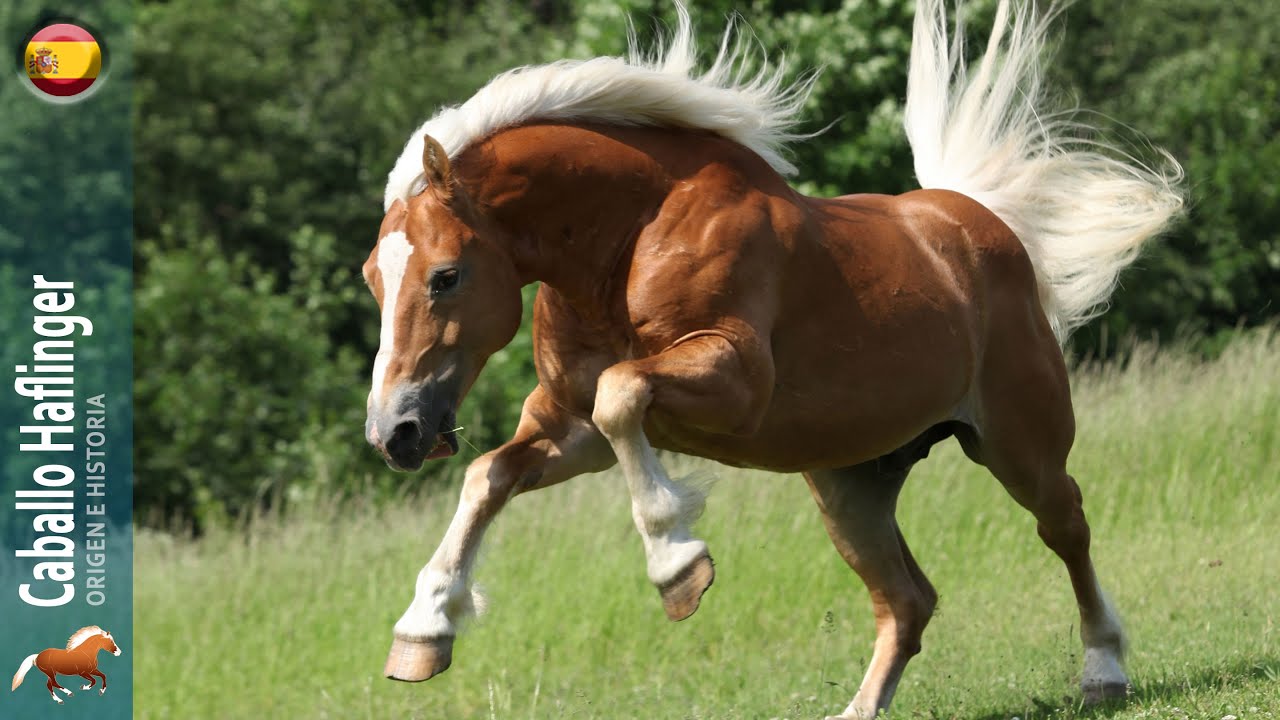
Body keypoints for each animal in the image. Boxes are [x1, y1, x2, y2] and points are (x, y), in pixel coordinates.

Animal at [362, 1, 1183, 717]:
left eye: (445, 275)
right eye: (373, 276)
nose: (394, 432)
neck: (631, 237)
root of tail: (977, 221)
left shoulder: (731, 383)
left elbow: (623, 395)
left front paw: (677, 567)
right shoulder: (571, 432)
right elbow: (487, 475)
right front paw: (422, 630)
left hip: (1018, 446)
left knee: (1066, 528)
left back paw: (1103, 671)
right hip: (850, 486)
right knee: (907, 600)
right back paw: (858, 710)